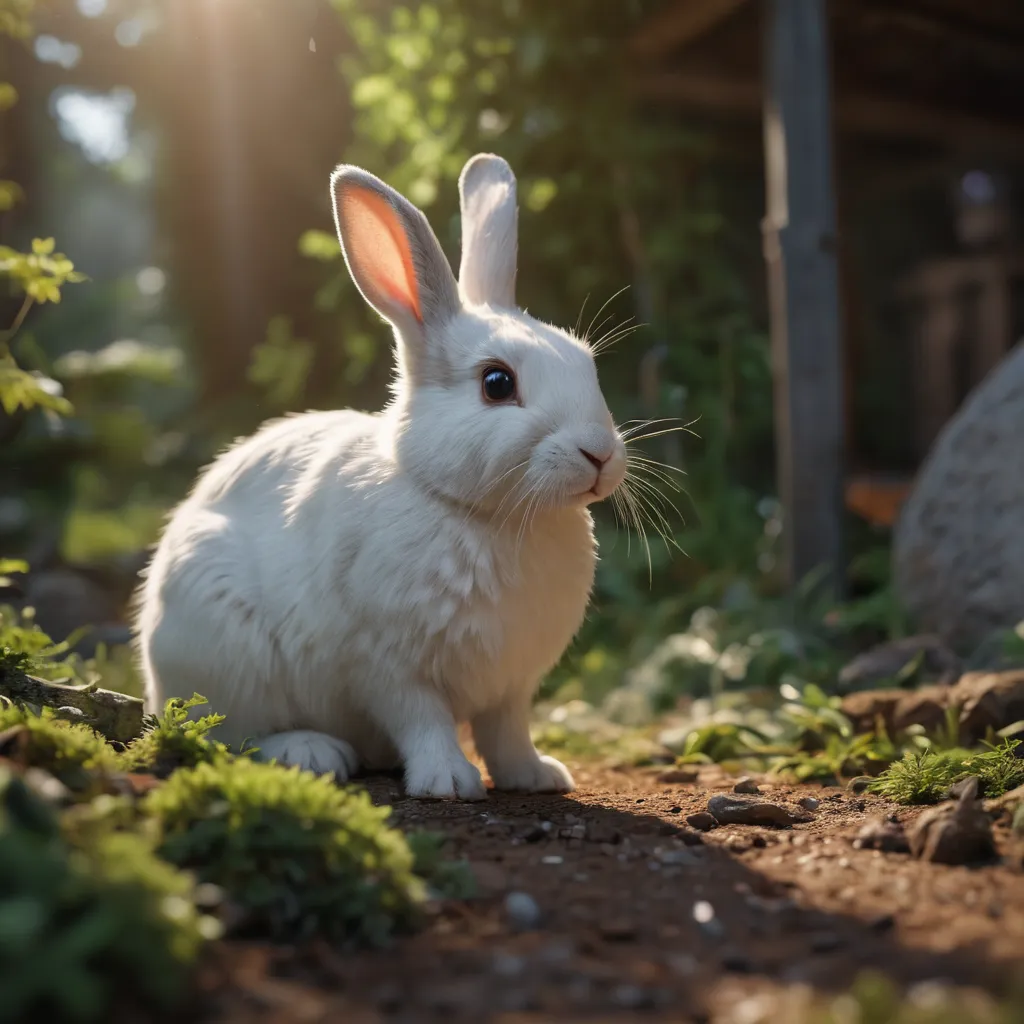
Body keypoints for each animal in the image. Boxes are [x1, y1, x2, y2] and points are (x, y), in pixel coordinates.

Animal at [135, 153, 627, 800]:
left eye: (586, 363)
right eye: (497, 383)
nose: (600, 454)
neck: (478, 513)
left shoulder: (510, 684)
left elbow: (506, 732)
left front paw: (536, 775)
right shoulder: (387, 666)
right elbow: (424, 721)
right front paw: (448, 782)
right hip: (221, 642)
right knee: (229, 734)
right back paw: (312, 753)